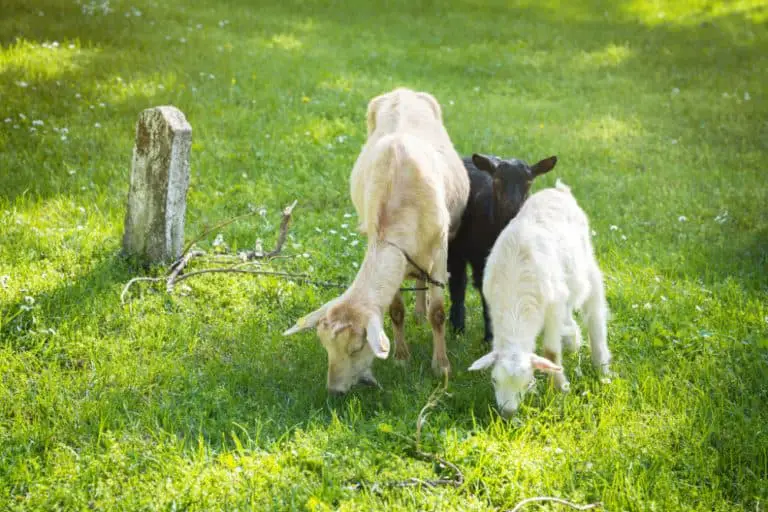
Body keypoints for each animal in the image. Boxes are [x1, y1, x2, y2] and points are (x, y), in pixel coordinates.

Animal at [284, 88, 469, 394]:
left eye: (357, 348)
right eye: (325, 347)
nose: (334, 391)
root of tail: (403, 90)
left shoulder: (440, 250)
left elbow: (438, 313)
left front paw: (441, 366)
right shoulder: (388, 247)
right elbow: (395, 311)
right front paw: (402, 357)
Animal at [468, 180, 611, 418]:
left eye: (526, 383)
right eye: (494, 380)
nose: (508, 414)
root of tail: (559, 190)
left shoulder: (553, 306)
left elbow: (551, 352)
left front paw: (560, 387)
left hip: (587, 266)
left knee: (594, 313)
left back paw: (602, 366)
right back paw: (572, 340)